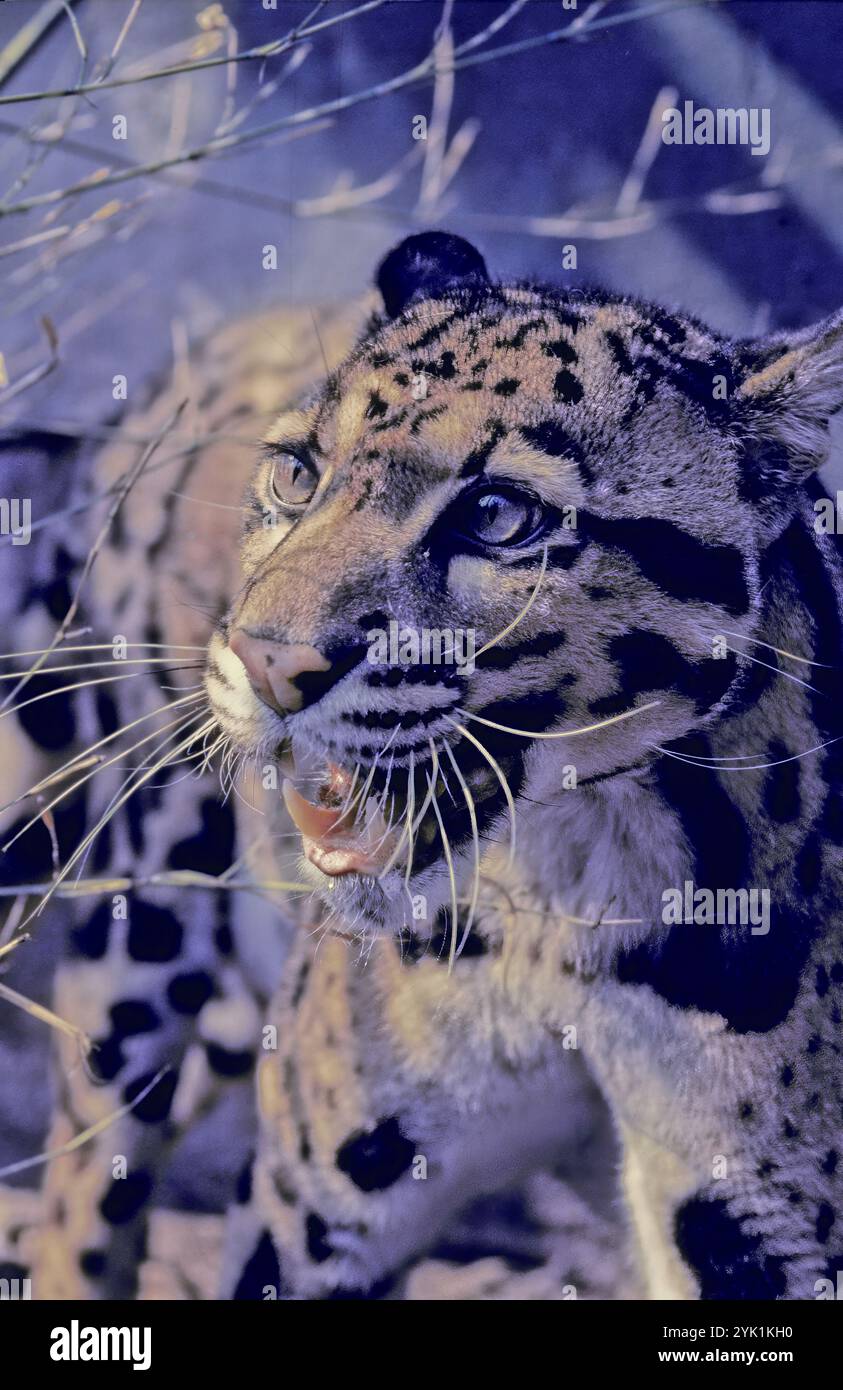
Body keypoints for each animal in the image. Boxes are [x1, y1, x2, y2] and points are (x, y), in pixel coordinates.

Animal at [3, 230, 843, 1302]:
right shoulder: (313, 1203)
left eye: (496, 515)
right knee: (89, 1170)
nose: (265, 662)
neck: (573, 899)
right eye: (296, 475)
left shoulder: (760, 1235)